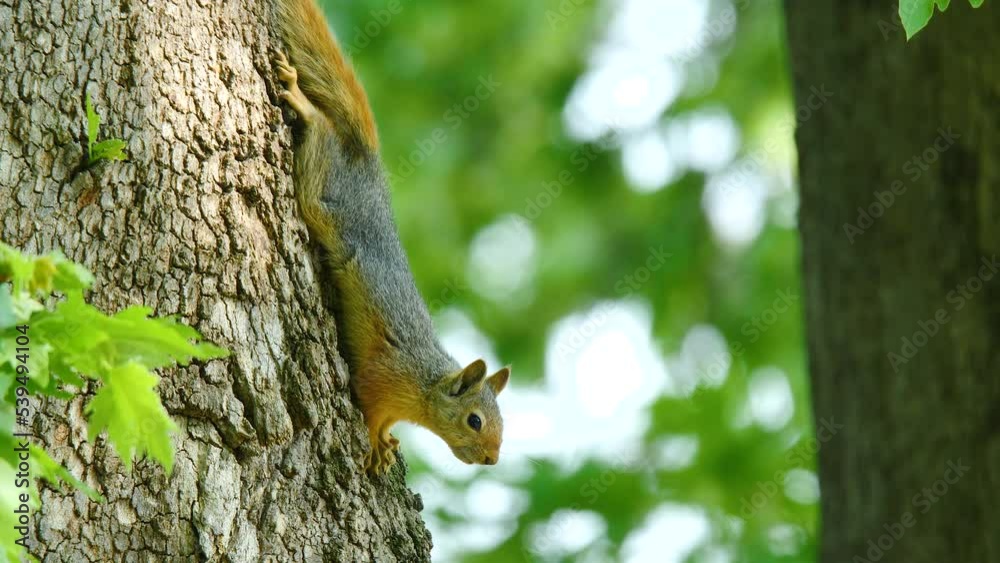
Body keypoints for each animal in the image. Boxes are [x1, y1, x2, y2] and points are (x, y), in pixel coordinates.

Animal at [273, 0, 509, 475]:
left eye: (503, 425)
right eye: (475, 420)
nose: (492, 459)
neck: (424, 383)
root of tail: (369, 165)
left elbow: (383, 422)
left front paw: (385, 441)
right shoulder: (384, 378)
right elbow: (368, 408)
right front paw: (372, 441)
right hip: (326, 194)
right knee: (321, 129)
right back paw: (301, 101)